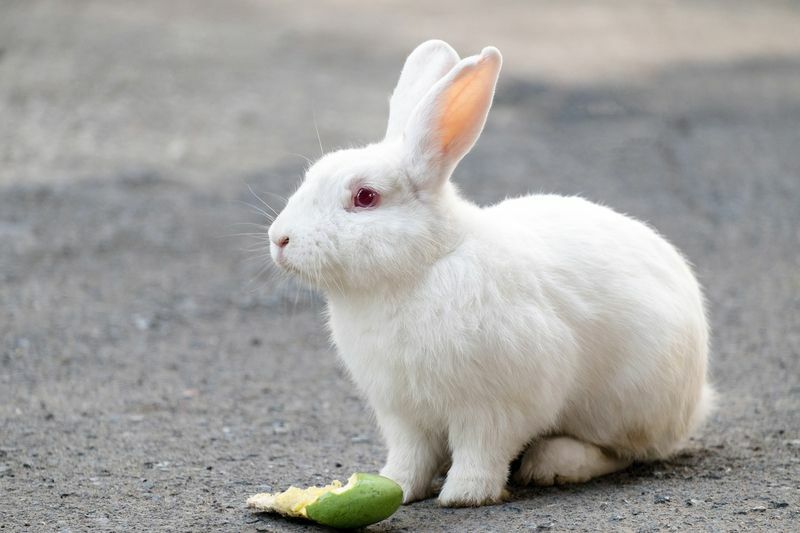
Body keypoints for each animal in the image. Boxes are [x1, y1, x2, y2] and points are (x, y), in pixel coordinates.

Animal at [268, 39, 712, 504]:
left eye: (365, 197)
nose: (279, 239)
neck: (422, 266)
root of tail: (698, 397)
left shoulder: (494, 406)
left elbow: (482, 450)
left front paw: (465, 495)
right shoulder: (402, 412)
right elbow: (410, 456)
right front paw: (398, 487)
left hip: (627, 401)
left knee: (623, 452)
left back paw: (553, 464)